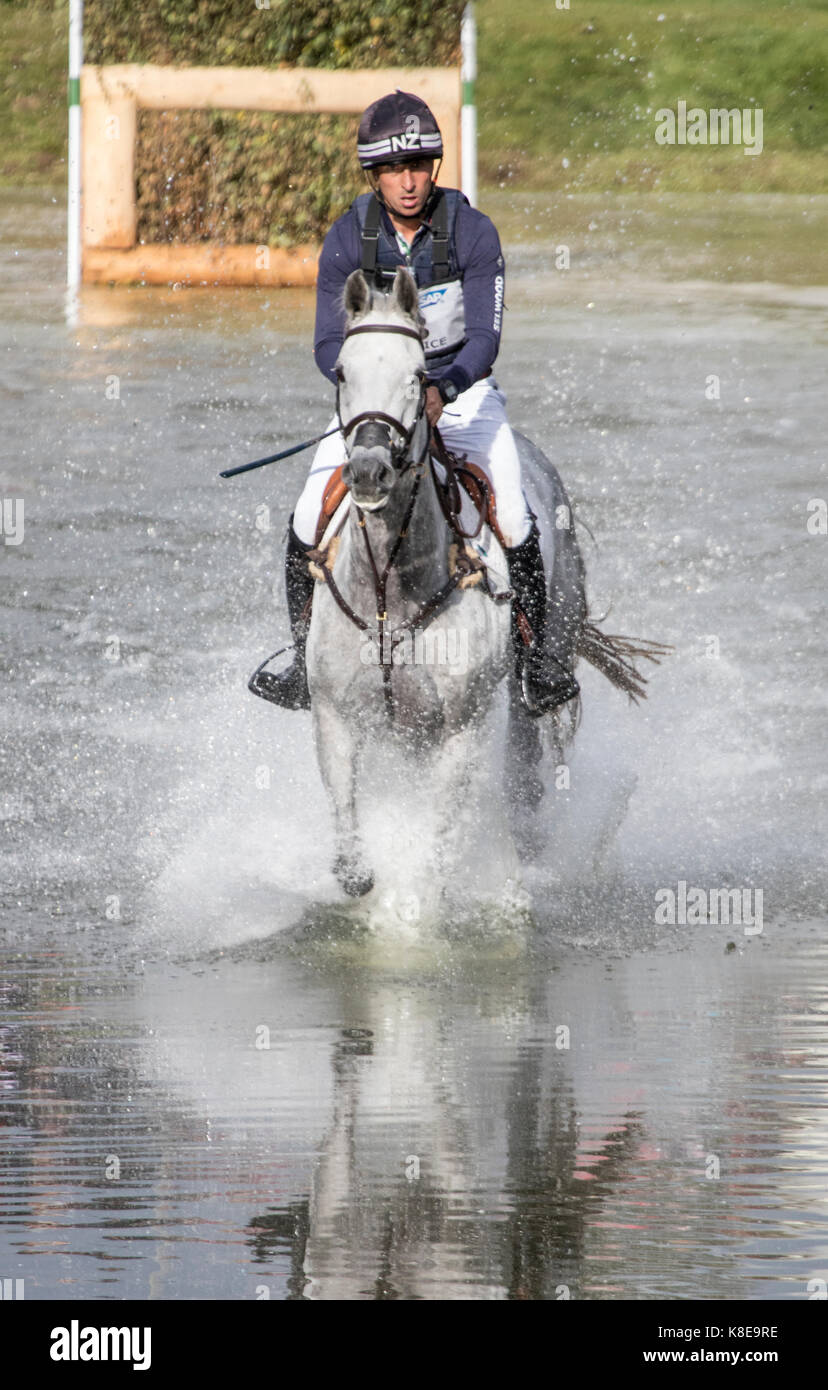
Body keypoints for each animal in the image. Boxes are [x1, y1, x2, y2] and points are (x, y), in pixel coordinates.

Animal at [304, 267, 659, 900]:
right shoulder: (337, 716)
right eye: (343, 371)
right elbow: (350, 835)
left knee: (525, 768)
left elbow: (439, 840)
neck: (392, 586)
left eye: (417, 375)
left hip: (537, 666)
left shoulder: (458, 729)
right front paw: (360, 873)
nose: (369, 472)